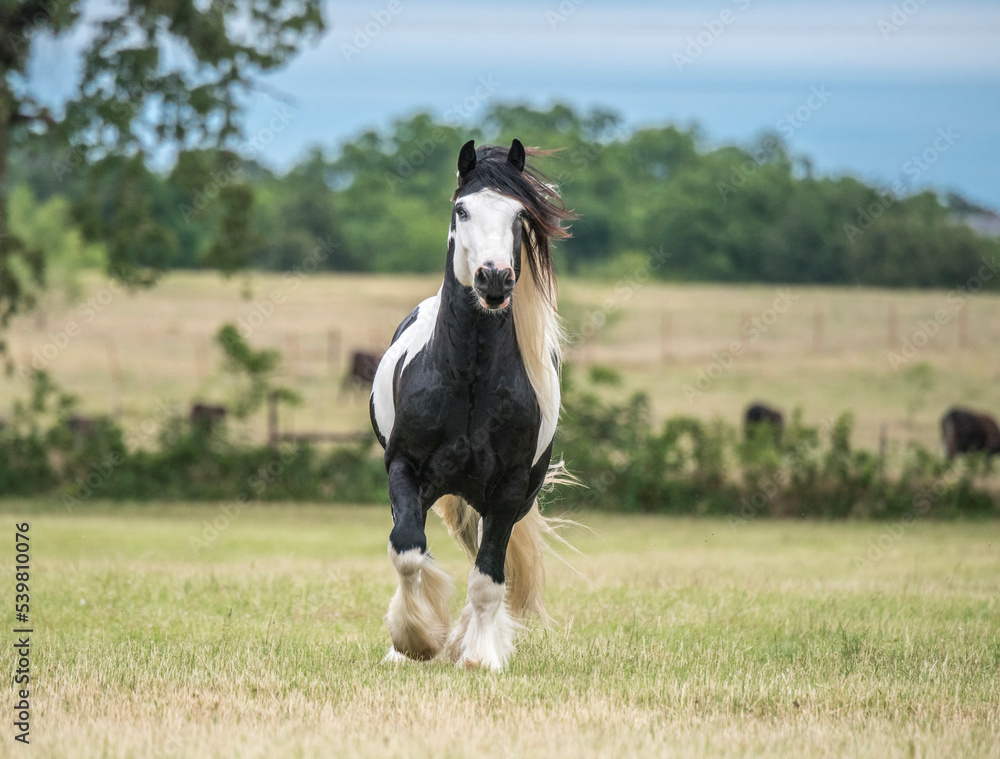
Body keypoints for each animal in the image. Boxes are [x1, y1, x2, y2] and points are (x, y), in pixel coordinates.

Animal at [369, 138, 574, 670]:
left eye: (520, 215)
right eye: (462, 209)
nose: (495, 279)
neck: (470, 380)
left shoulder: (508, 491)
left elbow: (487, 578)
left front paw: (480, 656)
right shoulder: (405, 468)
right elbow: (407, 550)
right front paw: (414, 640)